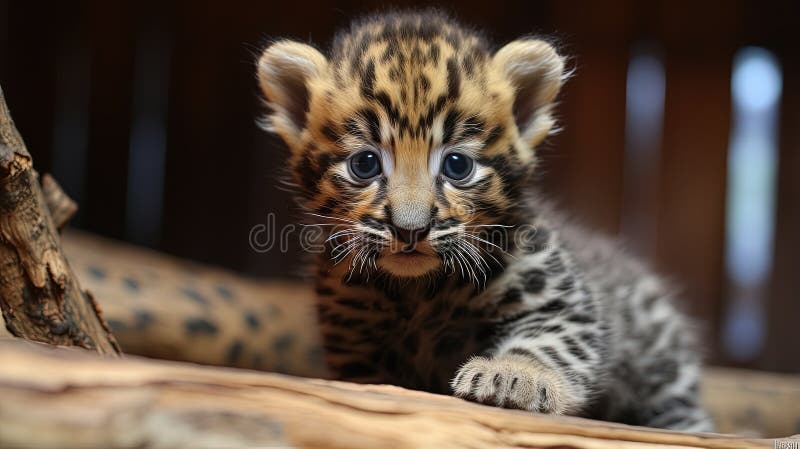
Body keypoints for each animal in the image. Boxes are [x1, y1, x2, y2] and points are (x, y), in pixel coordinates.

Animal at [256, 9, 713, 431]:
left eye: (457, 165)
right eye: (365, 164)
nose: (410, 229)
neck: (418, 292)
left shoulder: (561, 299)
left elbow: (550, 343)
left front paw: (512, 375)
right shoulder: (355, 338)